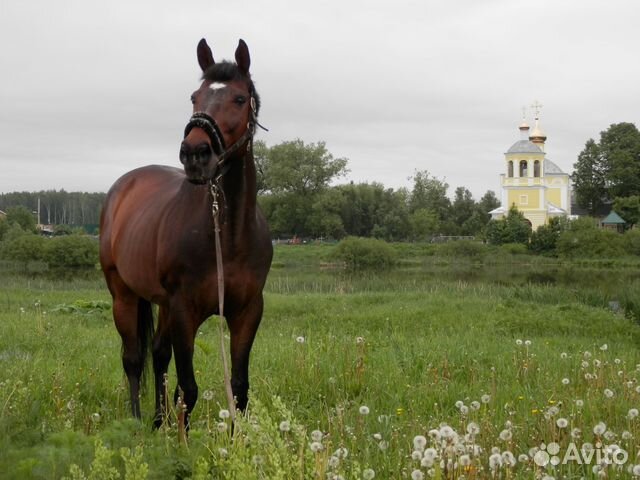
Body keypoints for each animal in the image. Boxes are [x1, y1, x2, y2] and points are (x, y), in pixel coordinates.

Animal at [99, 38, 272, 428]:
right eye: (195, 96)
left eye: (240, 98)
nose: (195, 152)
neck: (228, 235)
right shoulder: (184, 310)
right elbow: (188, 390)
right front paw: (182, 439)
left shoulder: (248, 311)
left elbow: (239, 387)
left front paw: (234, 439)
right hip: (123, 295)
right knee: (134, 359)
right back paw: (137, 422)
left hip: (160, 304)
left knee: (159, 354)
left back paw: (157, 421)